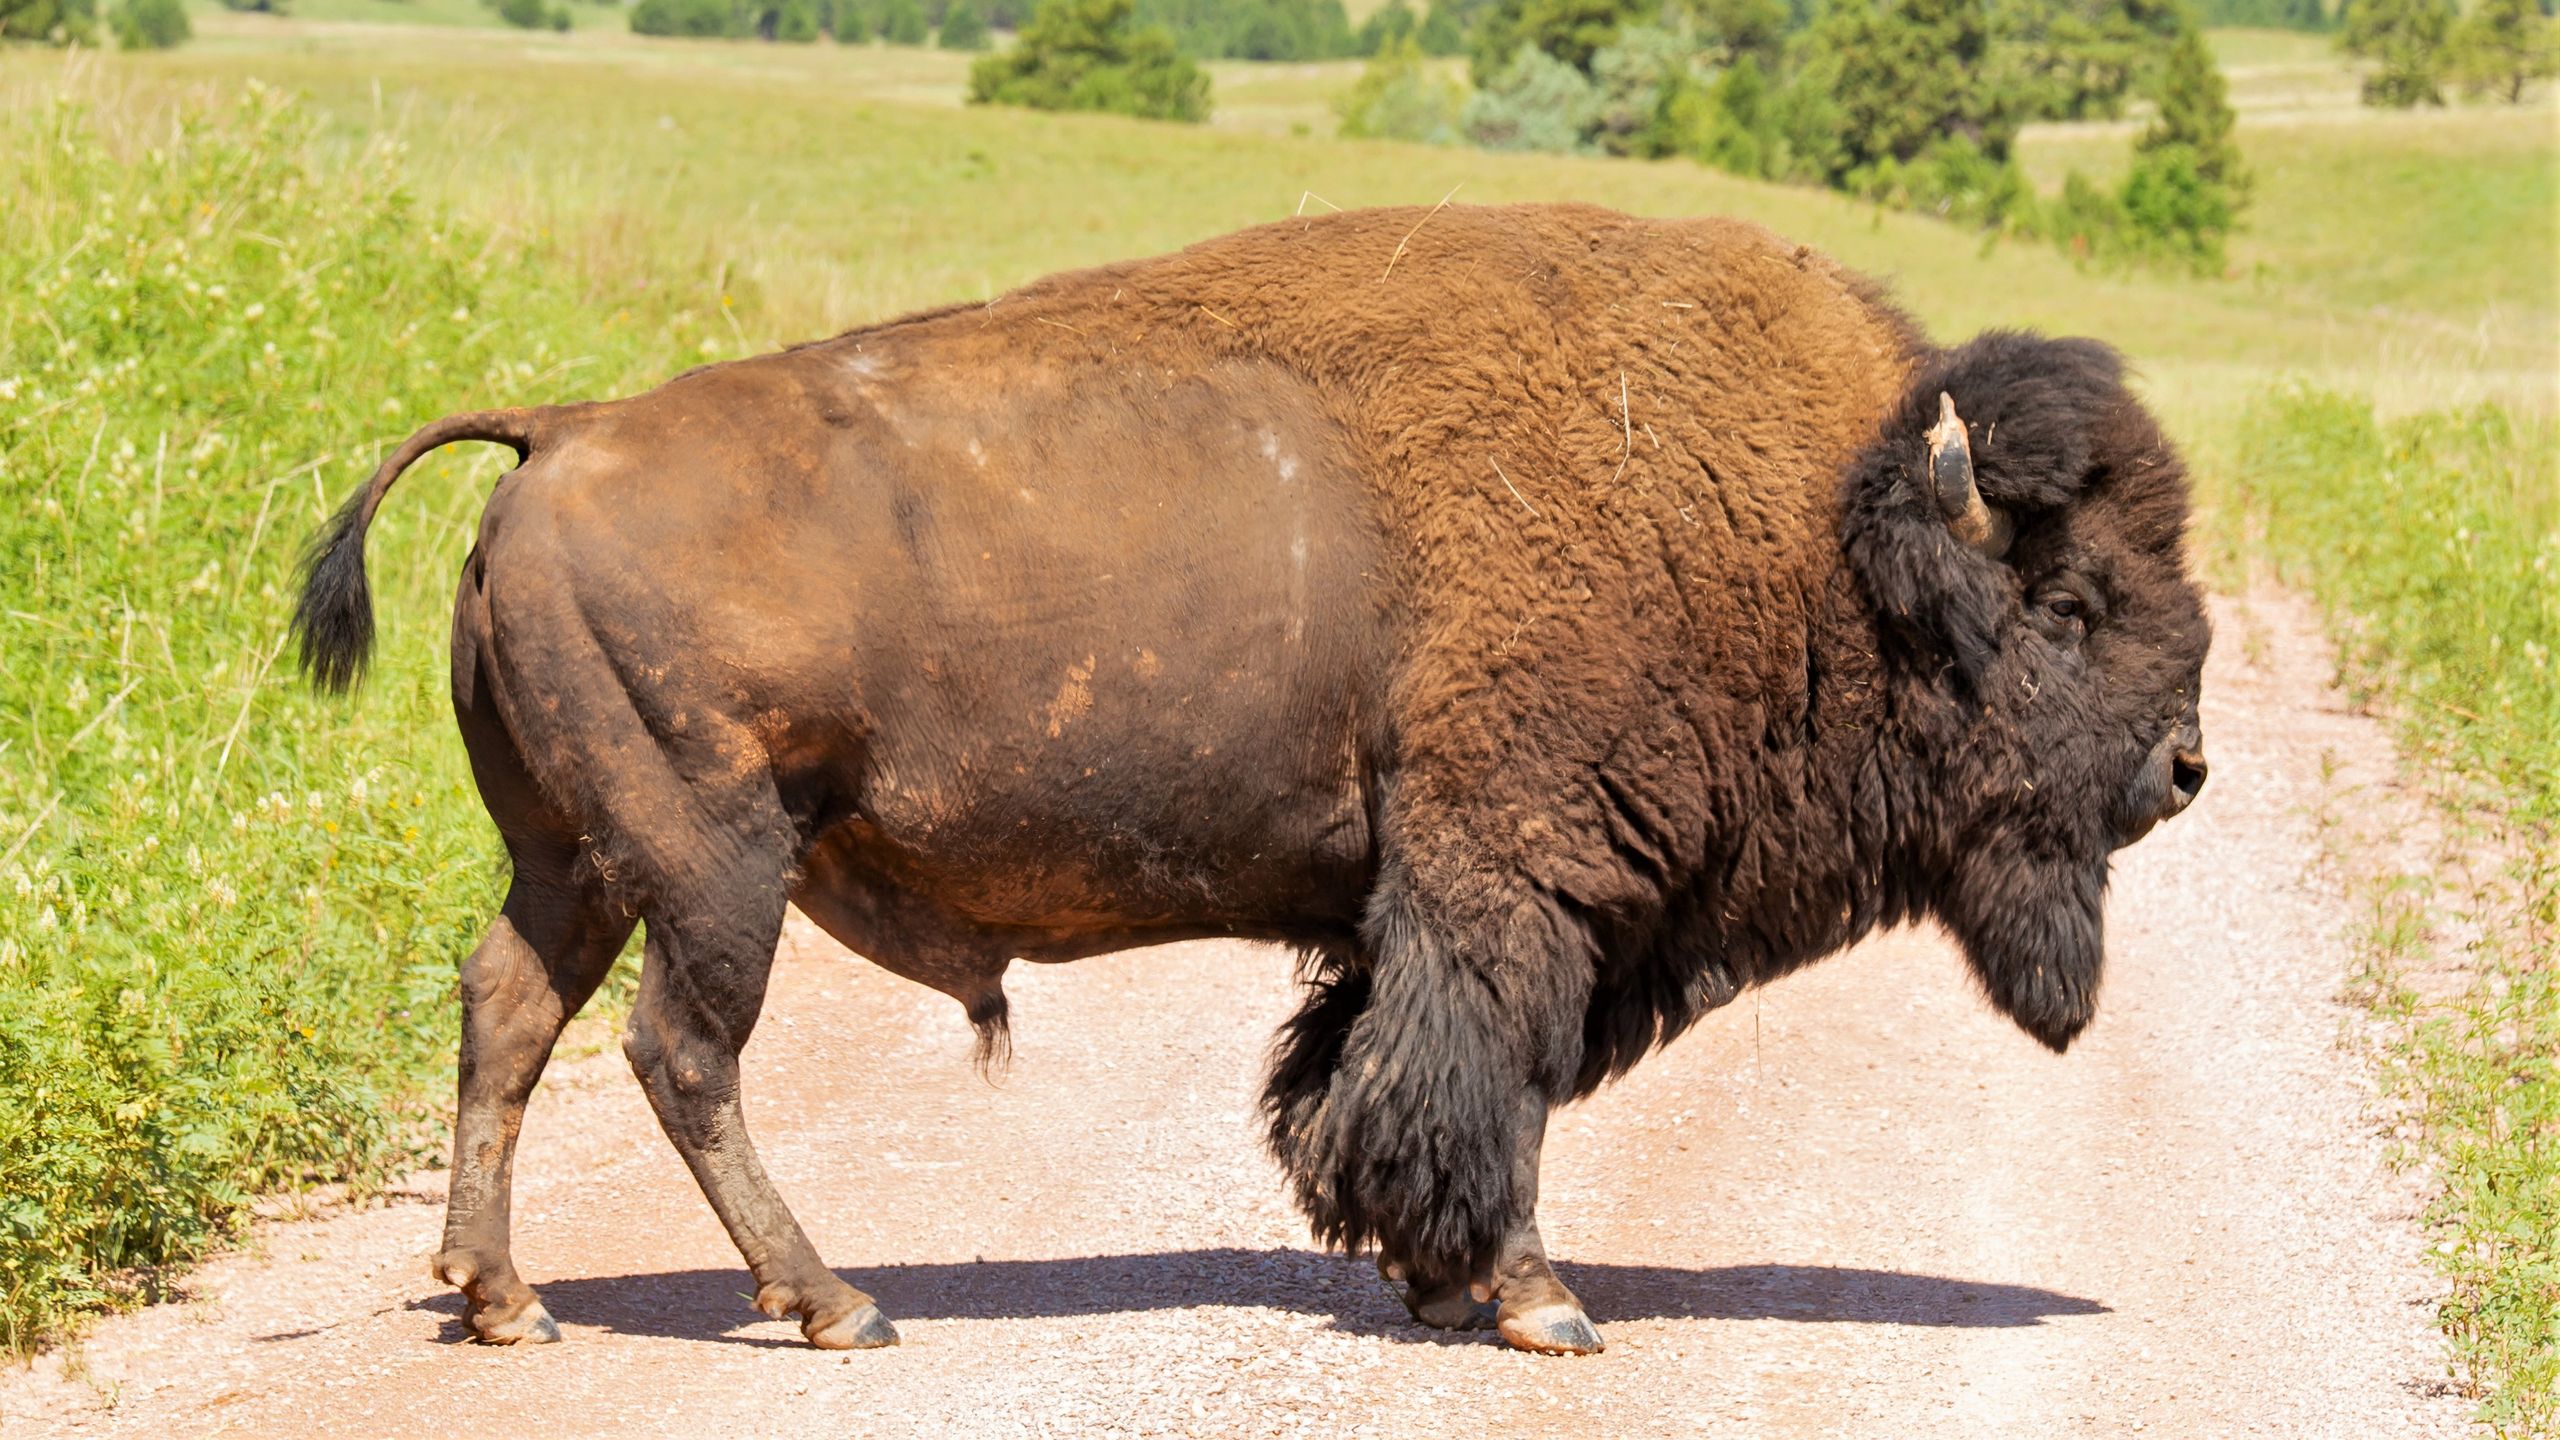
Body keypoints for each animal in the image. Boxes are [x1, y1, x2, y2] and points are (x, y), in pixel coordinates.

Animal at [295, 204, 2209, 1357]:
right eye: (2071, 603)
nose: (2187, 765)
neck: (1815, 533)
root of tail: (561, 430)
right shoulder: (1511, 883)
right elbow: (1482, 1078)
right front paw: (1535, 1304)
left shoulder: (1412, 905)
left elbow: (1365, 1081)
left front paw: (1437, 1283)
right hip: (712, 864)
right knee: (678, 1056)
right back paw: (832, 1303)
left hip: (577, 863)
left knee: (505, 1018)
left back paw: (503, 1302)